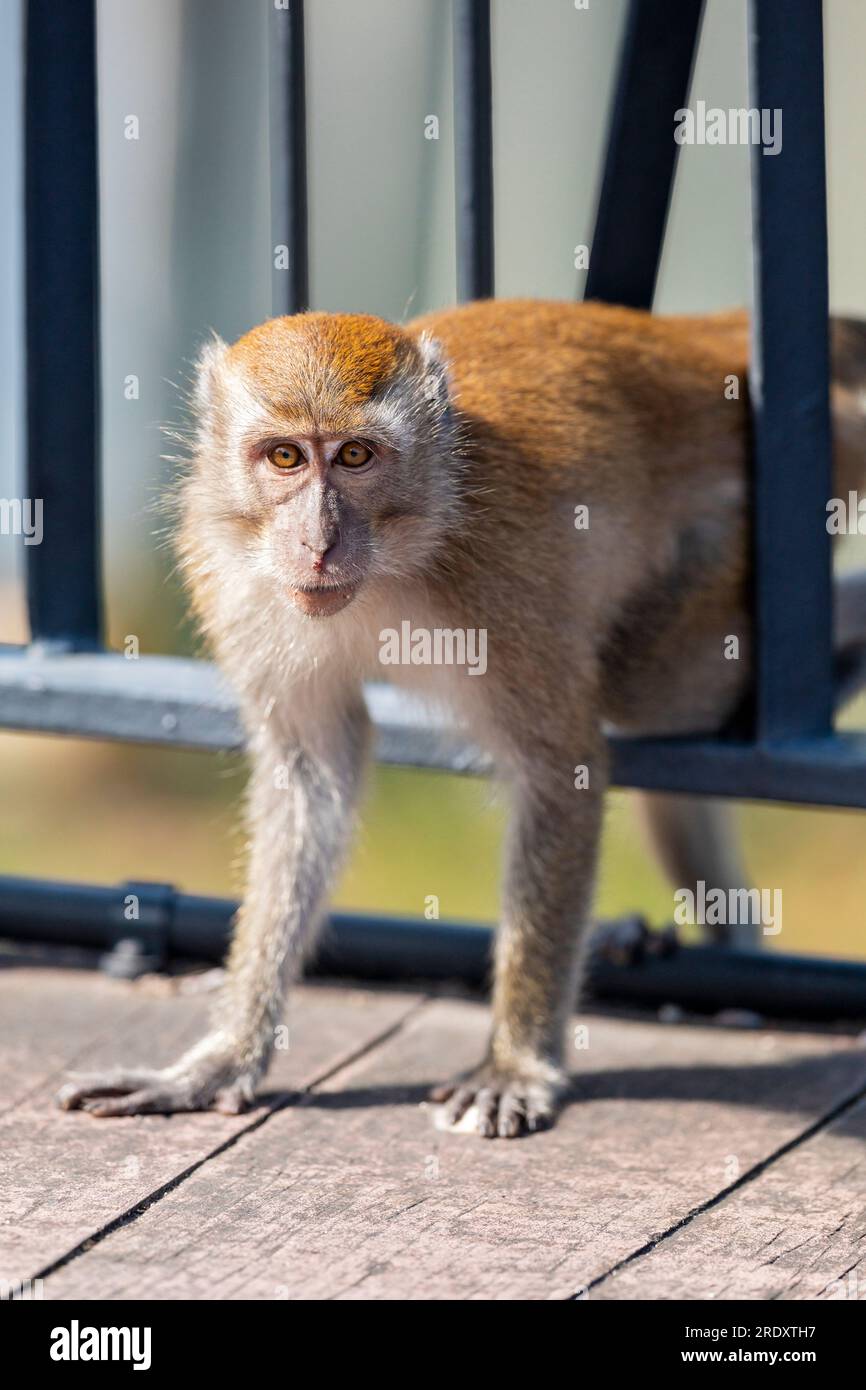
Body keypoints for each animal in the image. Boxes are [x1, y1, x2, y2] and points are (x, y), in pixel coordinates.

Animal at [56, 299, 866, 1137]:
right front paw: (223, 1058)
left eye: (355, 456)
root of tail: (706, 331)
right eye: (283, 458)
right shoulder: (235, 577)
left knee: (652, 690)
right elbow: (314, 774)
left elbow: (560, 767)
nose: (318, 543)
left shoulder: (499, 575)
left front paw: (514, 1062)